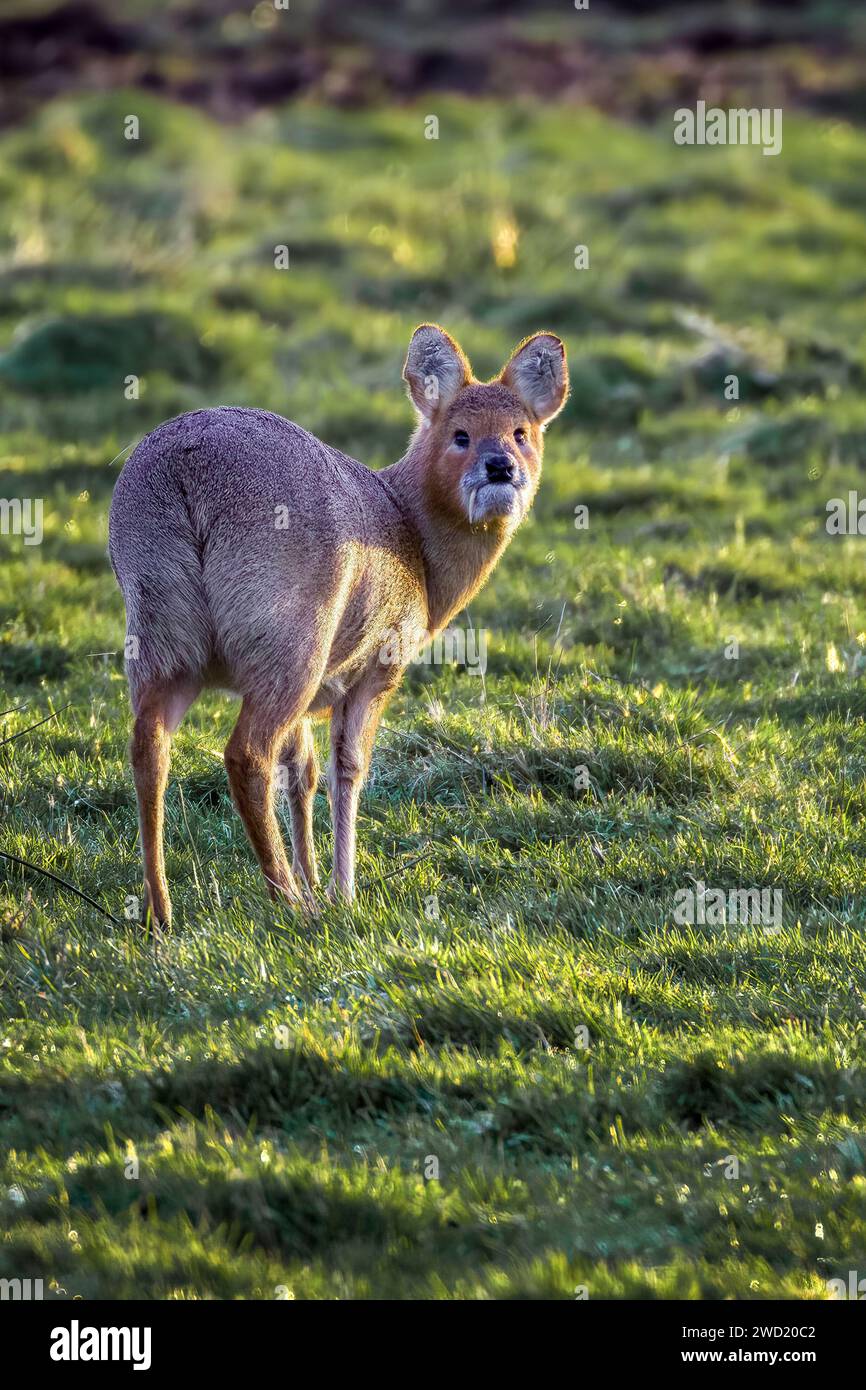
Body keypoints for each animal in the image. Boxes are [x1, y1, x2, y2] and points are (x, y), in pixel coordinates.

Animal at [108, 324, 568, 926]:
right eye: (461, 434)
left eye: (521, 432)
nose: (501, 467)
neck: (413, 545)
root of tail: (184, 476)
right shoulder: (375, 669)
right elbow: (346, 768)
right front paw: (340, 891)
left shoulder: (316, 696)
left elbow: (301, 770)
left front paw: (316, 878)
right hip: (291, 643)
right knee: (244, 754)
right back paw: (288, 903)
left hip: (161, 638)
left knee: (150, 747)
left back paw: (160, 912)